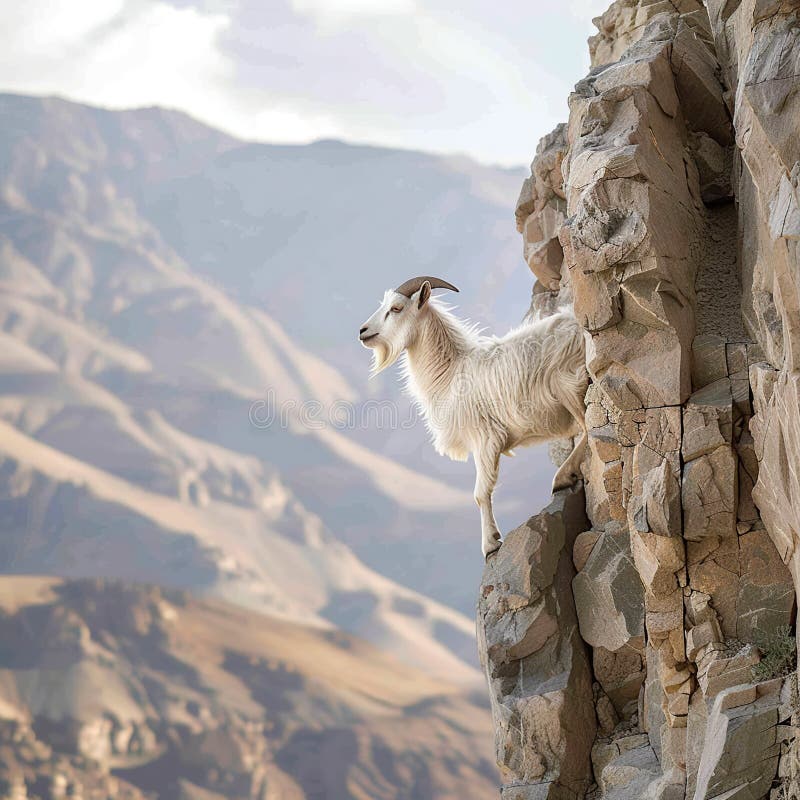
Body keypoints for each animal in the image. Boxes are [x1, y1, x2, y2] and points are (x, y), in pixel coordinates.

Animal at [359, 276, 589, 557]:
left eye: (396, 308)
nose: (363, 331)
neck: (450, 371)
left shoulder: (486, 440)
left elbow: (480, 493)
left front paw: (490, 543)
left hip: (569, 387)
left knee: (589, 428)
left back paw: (562, 477)